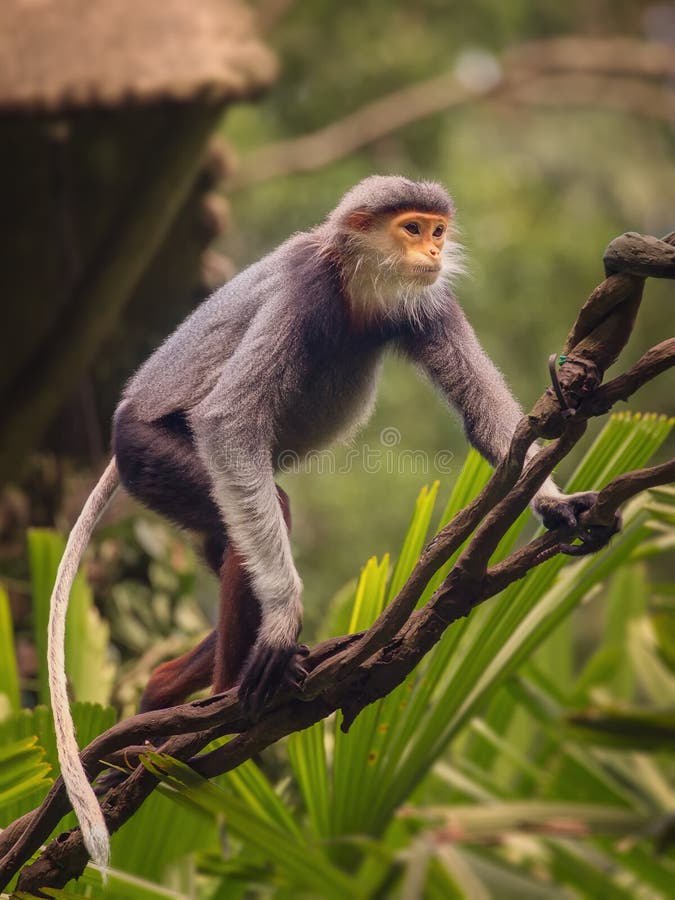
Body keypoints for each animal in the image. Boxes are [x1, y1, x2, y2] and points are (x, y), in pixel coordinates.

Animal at [47, 175, 615, 867]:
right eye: (411, 228)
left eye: (437, 231)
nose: (433, 252)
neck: (356, 289)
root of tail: (122, 419)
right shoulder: (304, 289)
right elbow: (229, 423)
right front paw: (284, 620)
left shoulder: (426, 302)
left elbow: (489, 421)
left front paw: (556, 504)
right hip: (153, 457)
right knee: (262, 503)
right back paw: (234, 685)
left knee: (233, 544)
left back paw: (163, 695)